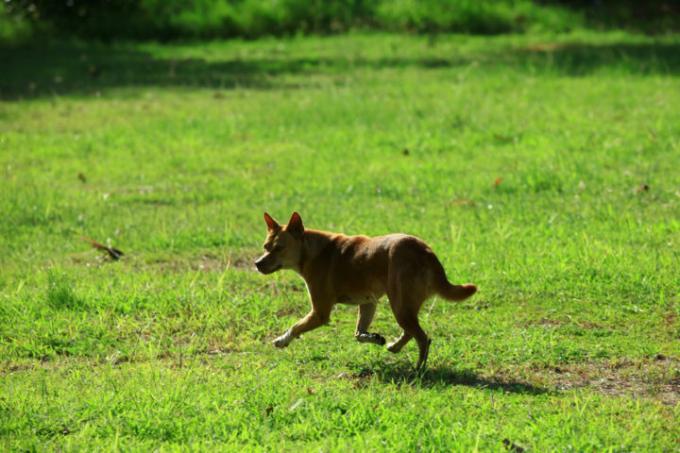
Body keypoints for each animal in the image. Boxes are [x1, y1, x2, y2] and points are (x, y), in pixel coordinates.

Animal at [255, 212, 478, 368]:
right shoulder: (368, 302)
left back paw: (419, 369)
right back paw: (394, 346)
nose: (257, 264)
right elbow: (359, 333)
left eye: (279, 248)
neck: (310, 250)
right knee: (411, 332)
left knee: (423, 338)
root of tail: (426, 252)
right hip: (403, 305)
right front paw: (373, 338)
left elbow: (295, 326)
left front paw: (281, 340)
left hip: (399, 304)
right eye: (265, 246)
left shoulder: (320, 313)